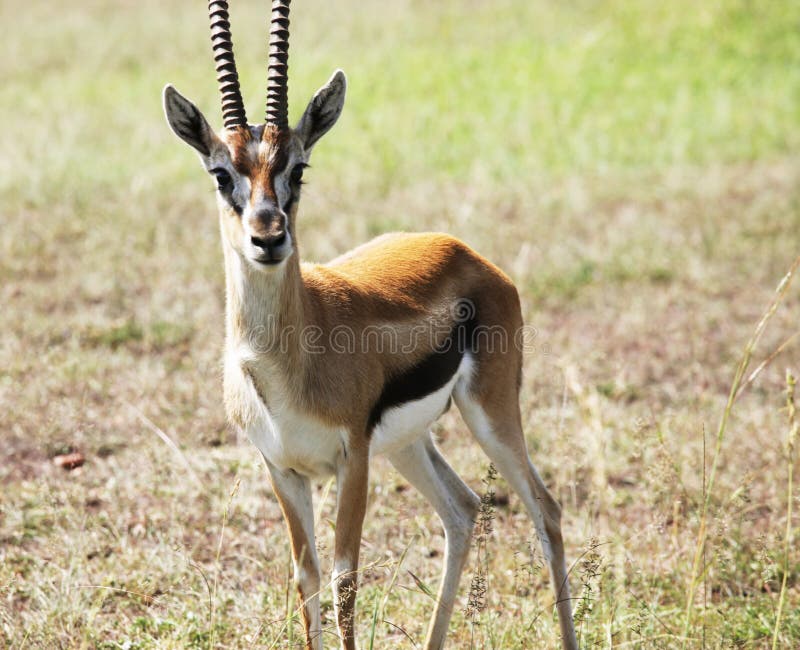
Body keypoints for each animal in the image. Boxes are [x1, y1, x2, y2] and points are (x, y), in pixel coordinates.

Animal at [162, 2, 577, 648]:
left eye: (298, 169)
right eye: (221, 173)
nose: (268, 237)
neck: (288, 362)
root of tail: (465, 251)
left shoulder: (351, 459)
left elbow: (345, 580)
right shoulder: (283, 470)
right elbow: (306, 579)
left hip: (490, 414)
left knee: (545, 510)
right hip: (408, 443)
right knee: (463, 510)